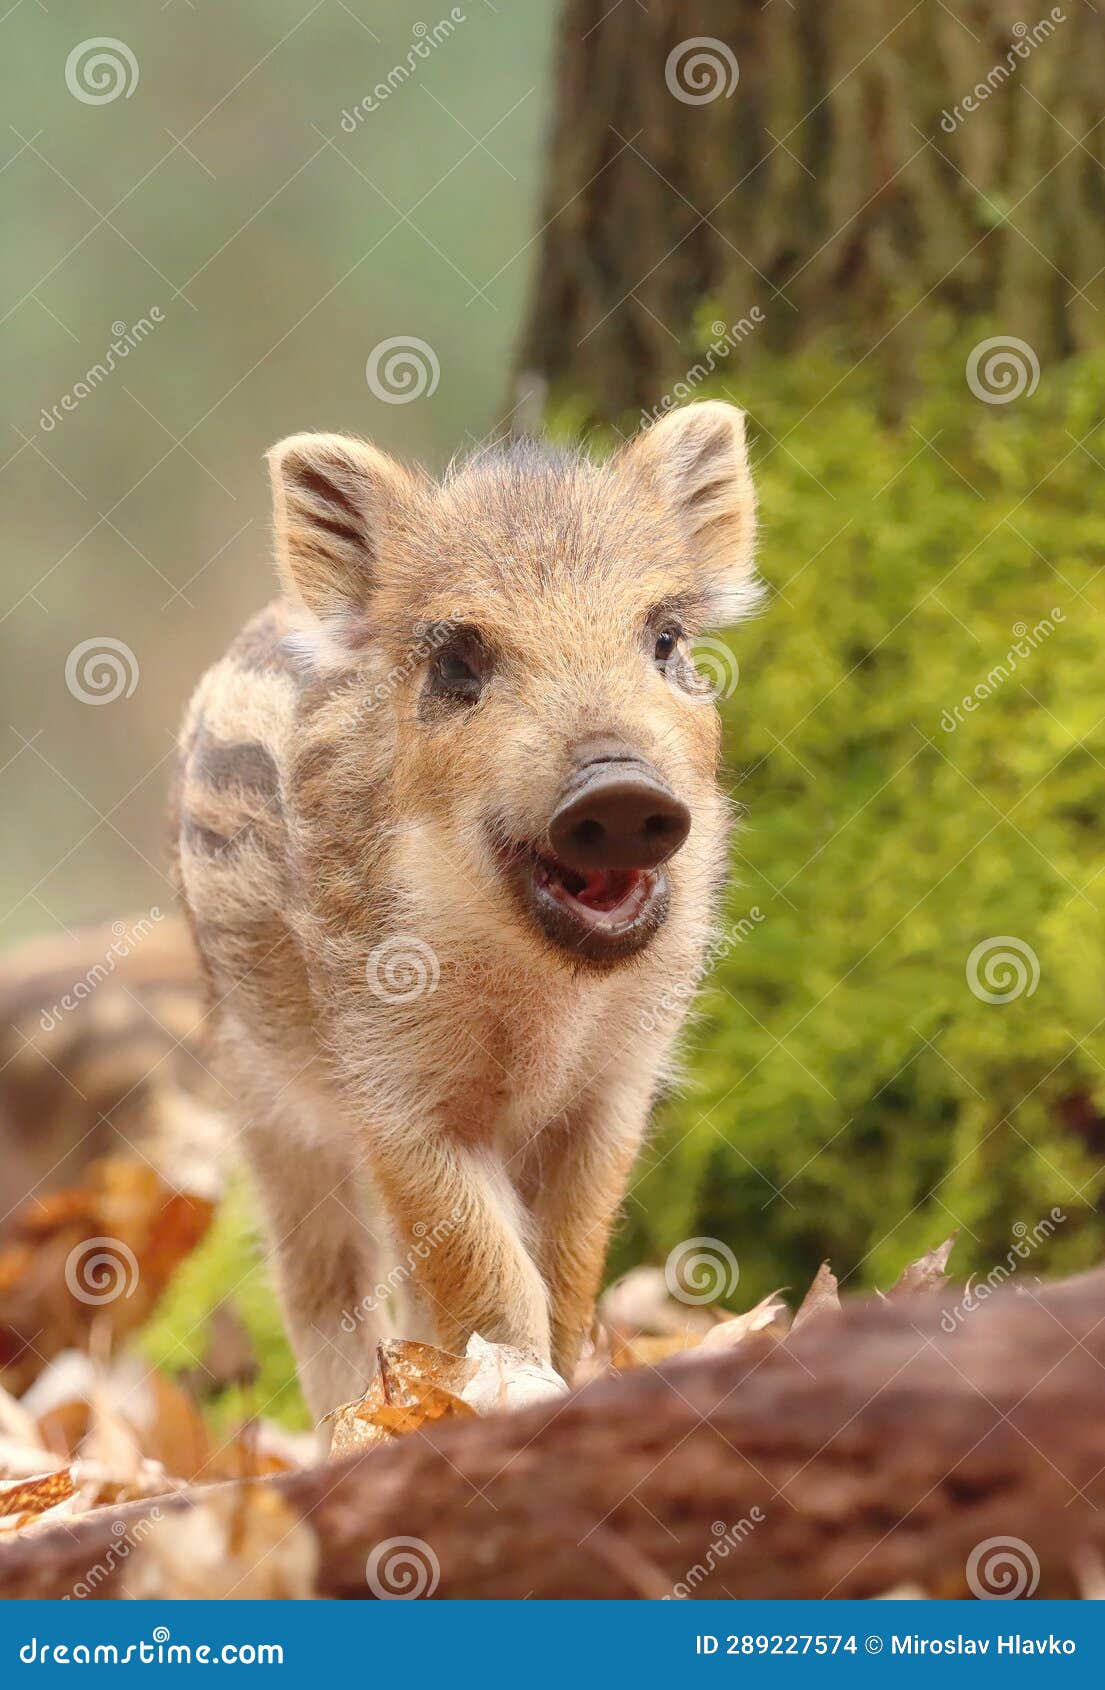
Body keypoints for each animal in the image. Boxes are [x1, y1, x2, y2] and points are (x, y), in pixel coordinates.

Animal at [169, 400, 760, 1421]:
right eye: (455, 660)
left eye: (665, 641)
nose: (616, 787)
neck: (546, 1000)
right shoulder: (392, 1087)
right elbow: (489, 1277)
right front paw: (507, 1397)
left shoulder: (615, 1086)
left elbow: (565, 1267)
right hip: (259, 1087)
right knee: (320, 1280)